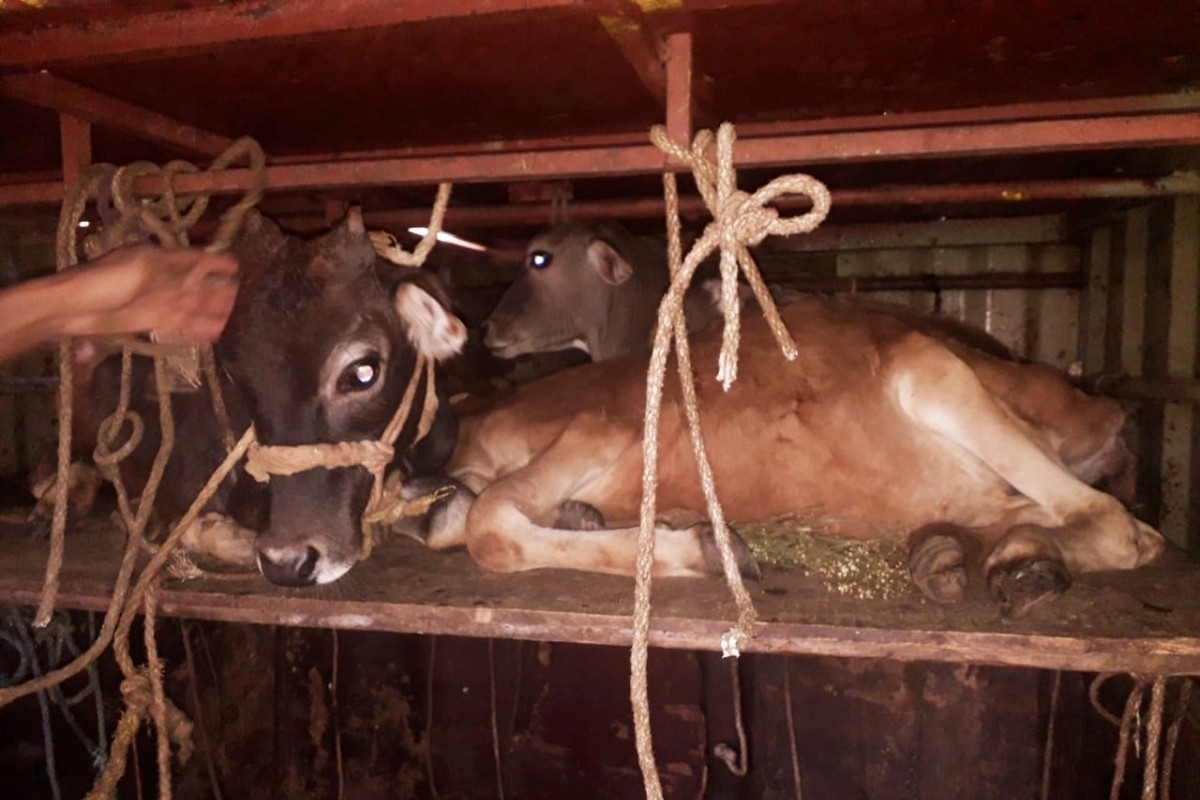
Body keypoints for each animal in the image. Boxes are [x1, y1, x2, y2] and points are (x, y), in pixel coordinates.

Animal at [401, 223, 1160, 617]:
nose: (487, 328)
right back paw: (982, 555)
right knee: (1061, 521)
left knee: (1115, 525)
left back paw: (1016, 563)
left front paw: (702, 549)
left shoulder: (604, 428)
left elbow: (488, 526)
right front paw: (587, 520)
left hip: (934, 373)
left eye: (539, 259)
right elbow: (471, 521)